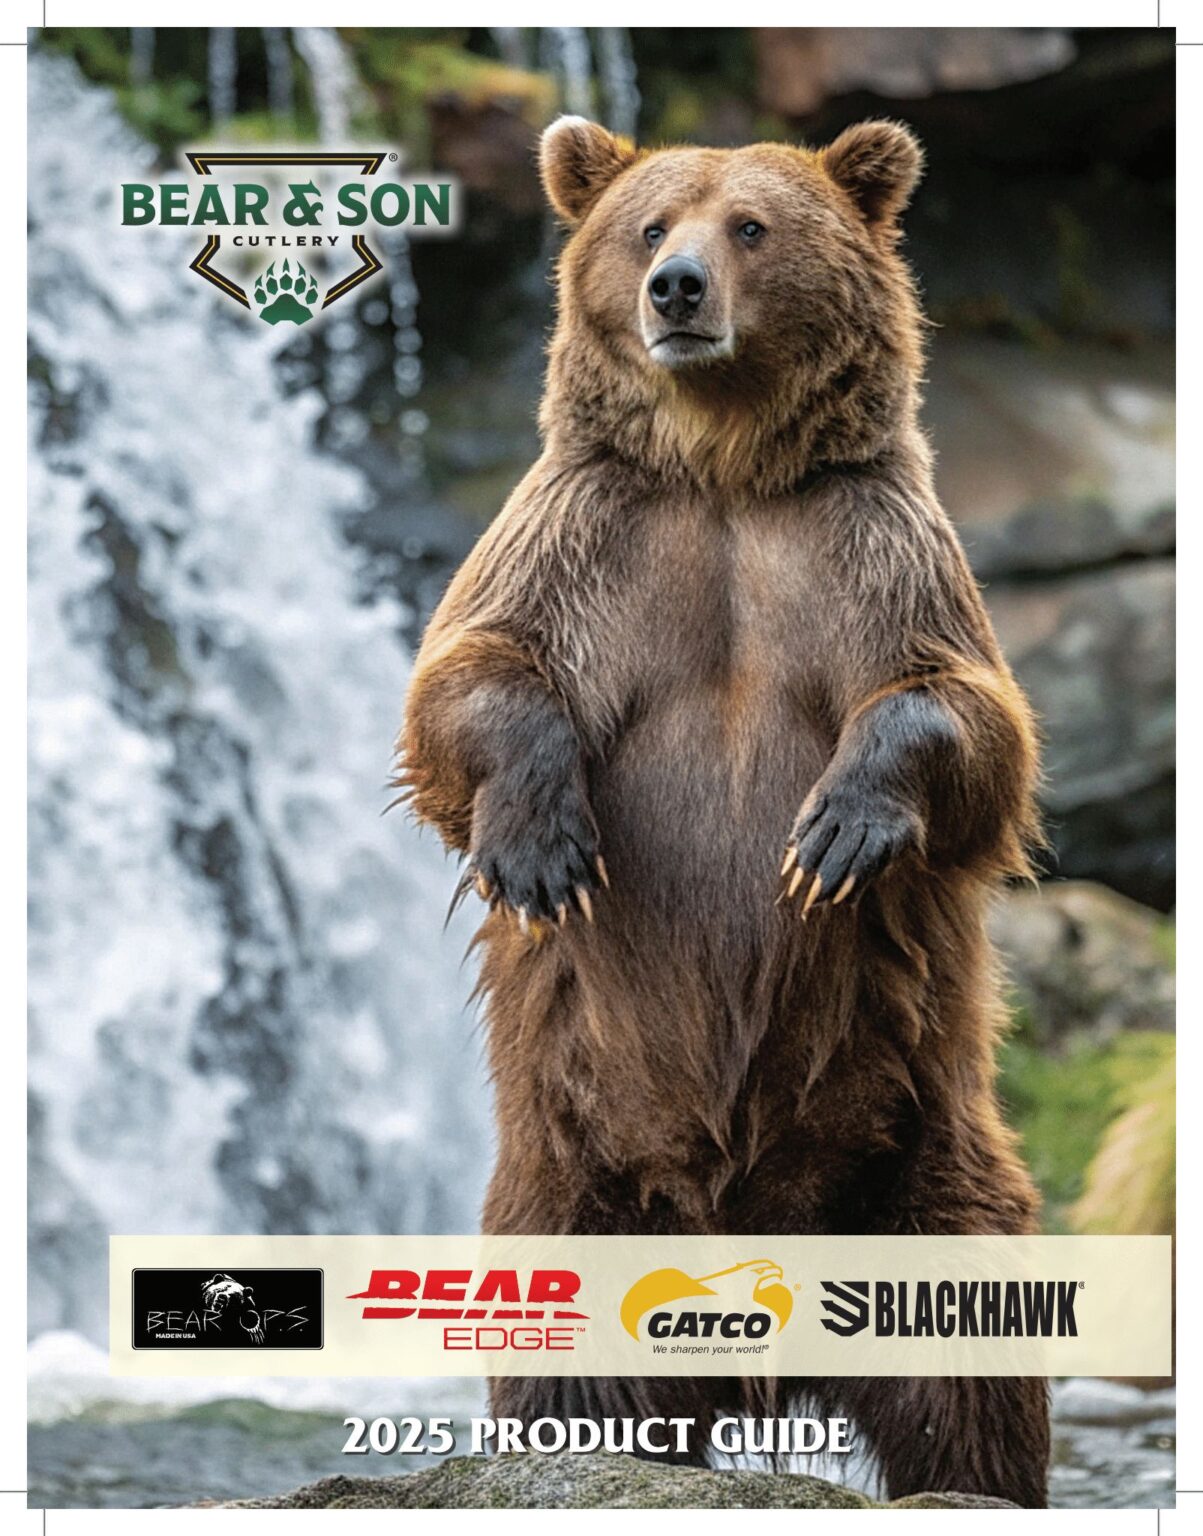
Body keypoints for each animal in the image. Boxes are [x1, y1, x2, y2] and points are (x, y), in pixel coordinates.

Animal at [395, 115, 1050, 1507]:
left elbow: (970, 722)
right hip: (576, 1173)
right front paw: (542, 847)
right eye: (650, 224)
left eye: (751, 225)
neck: (726, 471)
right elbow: (468, 677)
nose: (677, 290)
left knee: (971, 1364)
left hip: (918, 1163)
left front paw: (839, 830)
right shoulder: (591, 540)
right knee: (580, 1383)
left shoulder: (870, 552)